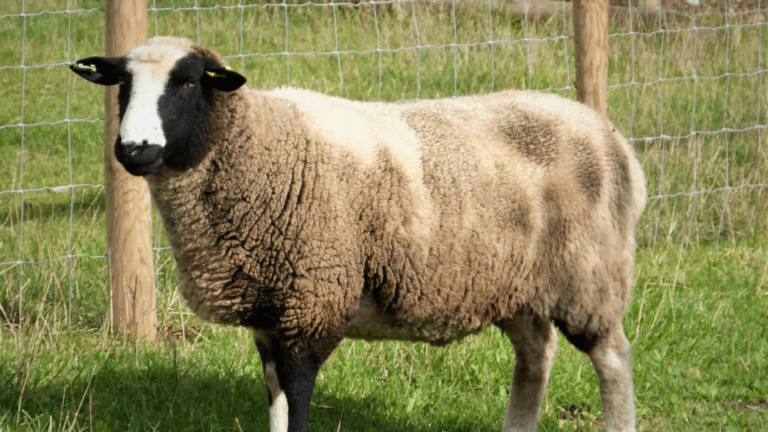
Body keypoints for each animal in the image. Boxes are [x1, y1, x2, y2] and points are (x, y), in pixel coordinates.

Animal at [71, 36, 647, 432]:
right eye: (123, 85)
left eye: (189, 82)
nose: (134, 150)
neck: (259, 148)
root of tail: (613, 138)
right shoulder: (271, 314)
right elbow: (277, 401)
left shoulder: (314, 302)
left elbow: (298, 403)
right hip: (514, 281)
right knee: (535, 355)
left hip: (588, 273)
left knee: (614, 358)